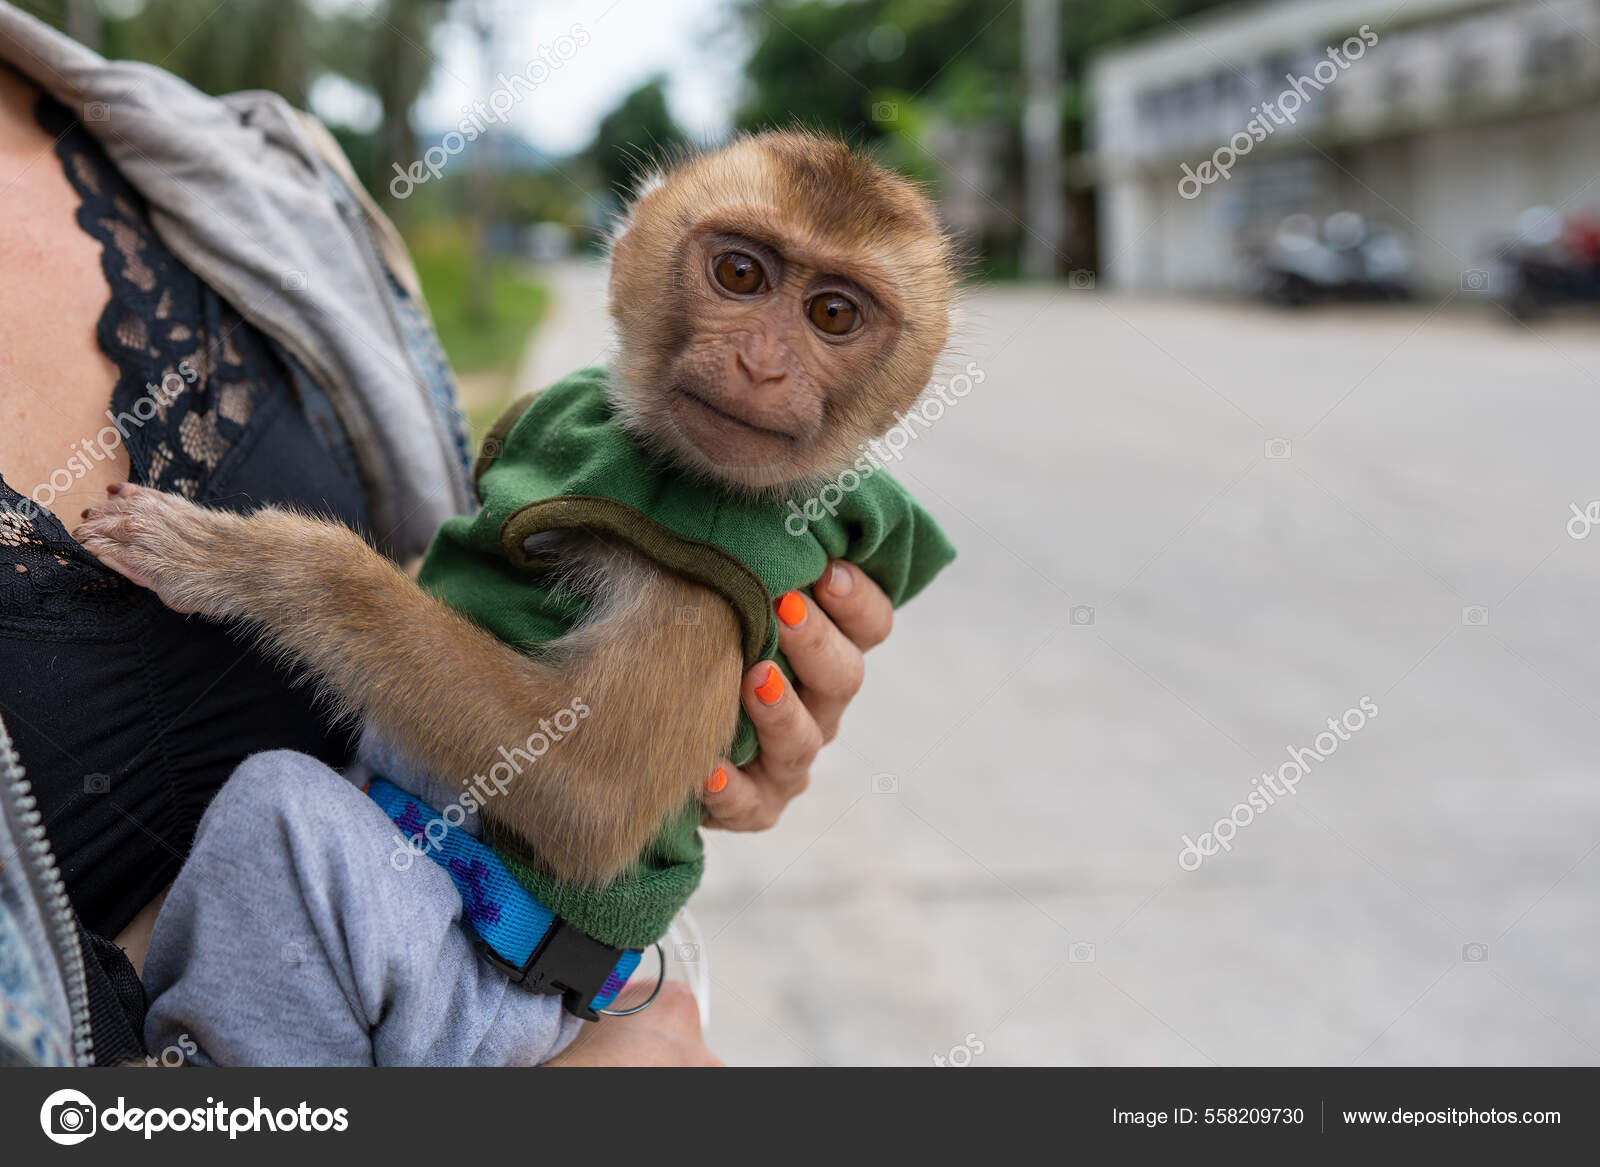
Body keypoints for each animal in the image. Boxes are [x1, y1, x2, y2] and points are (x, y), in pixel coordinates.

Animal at [73, 130, 959, 894]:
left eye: (834, 314)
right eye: (740, 273)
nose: (762, 364)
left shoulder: (713, 563)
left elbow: (588, 789)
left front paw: (235, 560)